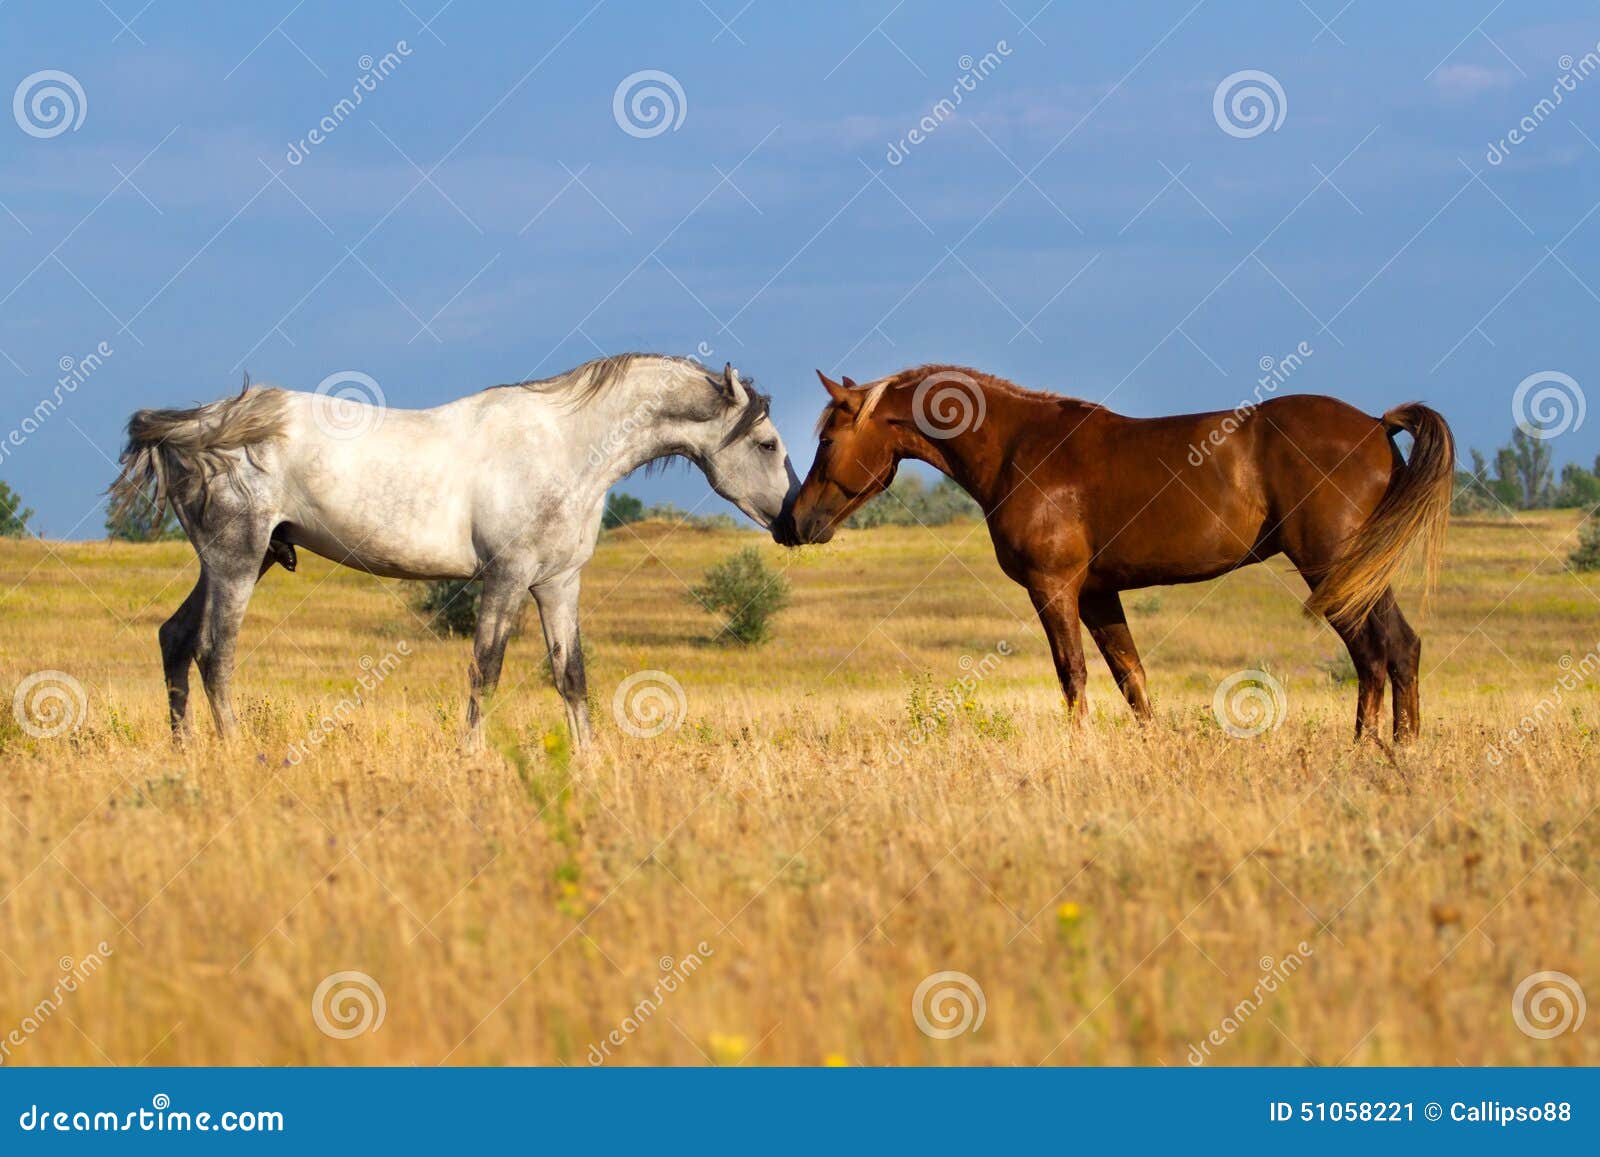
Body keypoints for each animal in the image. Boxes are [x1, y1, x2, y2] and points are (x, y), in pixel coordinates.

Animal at [110, 355, 798, 750]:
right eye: (767, 444)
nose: (795, 523)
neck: (565, 446)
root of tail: (196, 426)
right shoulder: (506, 578)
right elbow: (485, 672)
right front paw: (472, 759)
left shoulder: (559, 583)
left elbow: (571, 676)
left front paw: (591, 765)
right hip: (237, 560)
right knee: (213, 652)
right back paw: (234, 753)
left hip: (232, 563)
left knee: (176, 639)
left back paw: (187, 754)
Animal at [775, 366, 1454, 741]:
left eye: (828, 440)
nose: (794, 522)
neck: (1022, 447)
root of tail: (1375, 424)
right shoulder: (1101, 593)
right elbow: (1132, 678)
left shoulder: (1055, 587)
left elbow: (1071, 673)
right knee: (1391, 651)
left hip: (1333, 569)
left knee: (1382, 650)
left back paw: (1382, 749)